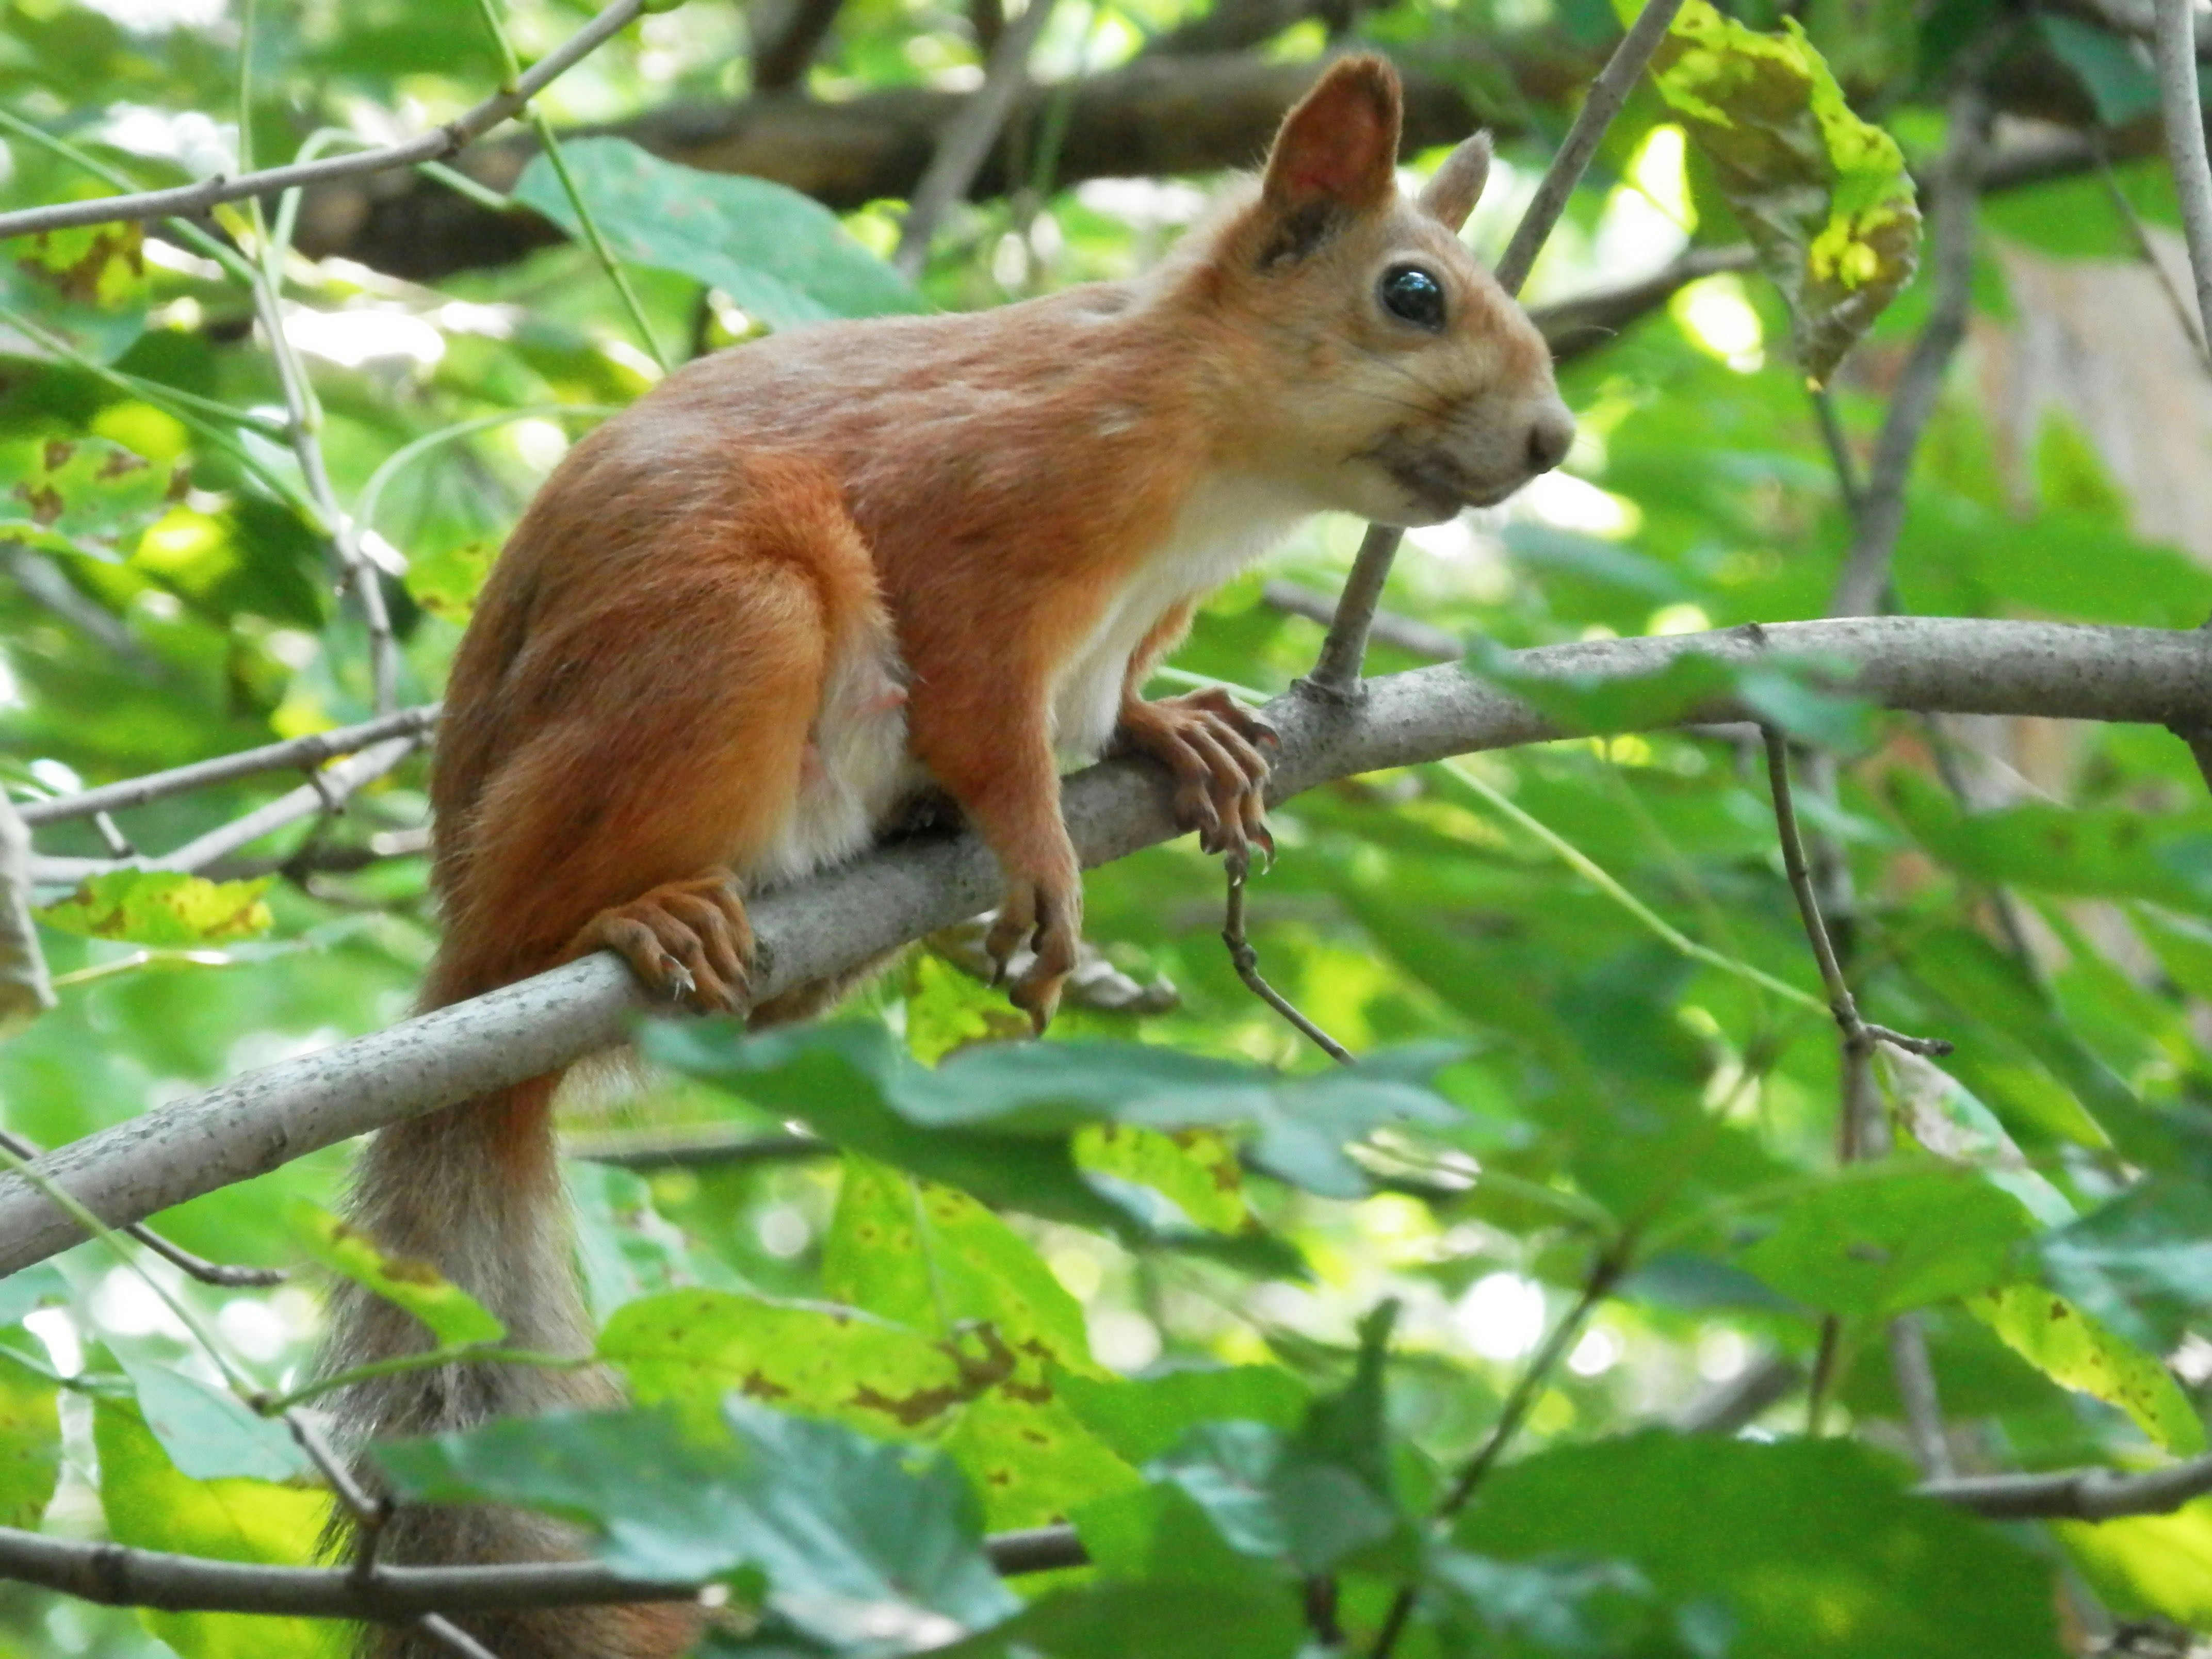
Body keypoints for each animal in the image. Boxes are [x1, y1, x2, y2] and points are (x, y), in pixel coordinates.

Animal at [320, 53, 1572, 1659]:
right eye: (1412, 294)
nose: (1553, 441)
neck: (1215, 456)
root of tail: (459, 988)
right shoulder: (982, 518)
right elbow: (988, 714)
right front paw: (1042, 850)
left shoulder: (1141, 614)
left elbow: (1118, 697)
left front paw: (1180, 737)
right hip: (722, 632)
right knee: (552, 915)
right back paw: (641, 920)